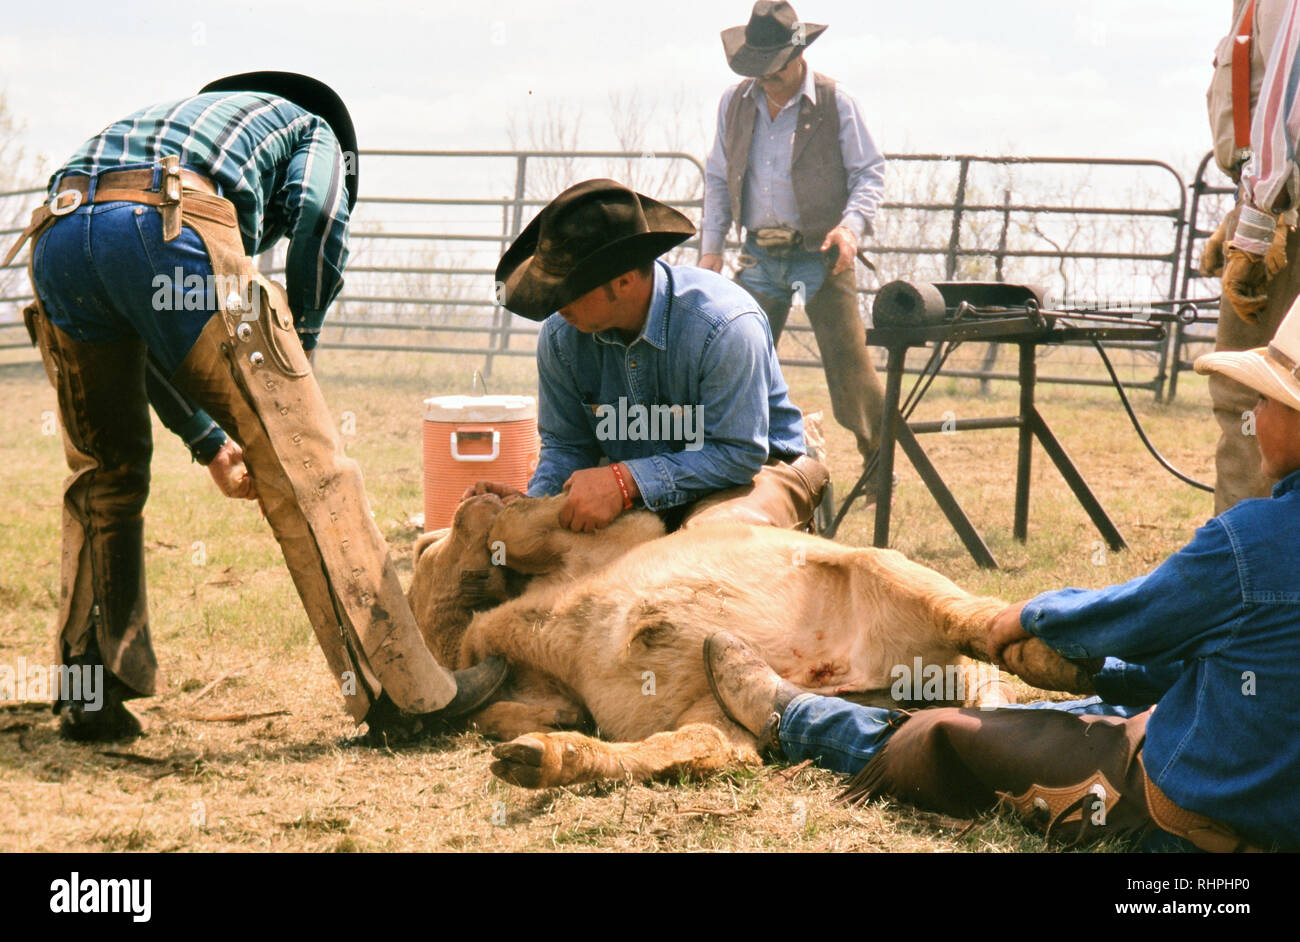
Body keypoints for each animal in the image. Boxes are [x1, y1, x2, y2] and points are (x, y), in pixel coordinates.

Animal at [408, 493, 1094, 789]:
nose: (472, 494)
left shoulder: (620, 530)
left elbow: (517, 524)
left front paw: (496, 512)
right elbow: (509, 709)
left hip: (897, 576)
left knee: (976, 619)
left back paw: (1064, 657)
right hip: (722, 699)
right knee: (709, 747)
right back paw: (545, 759)